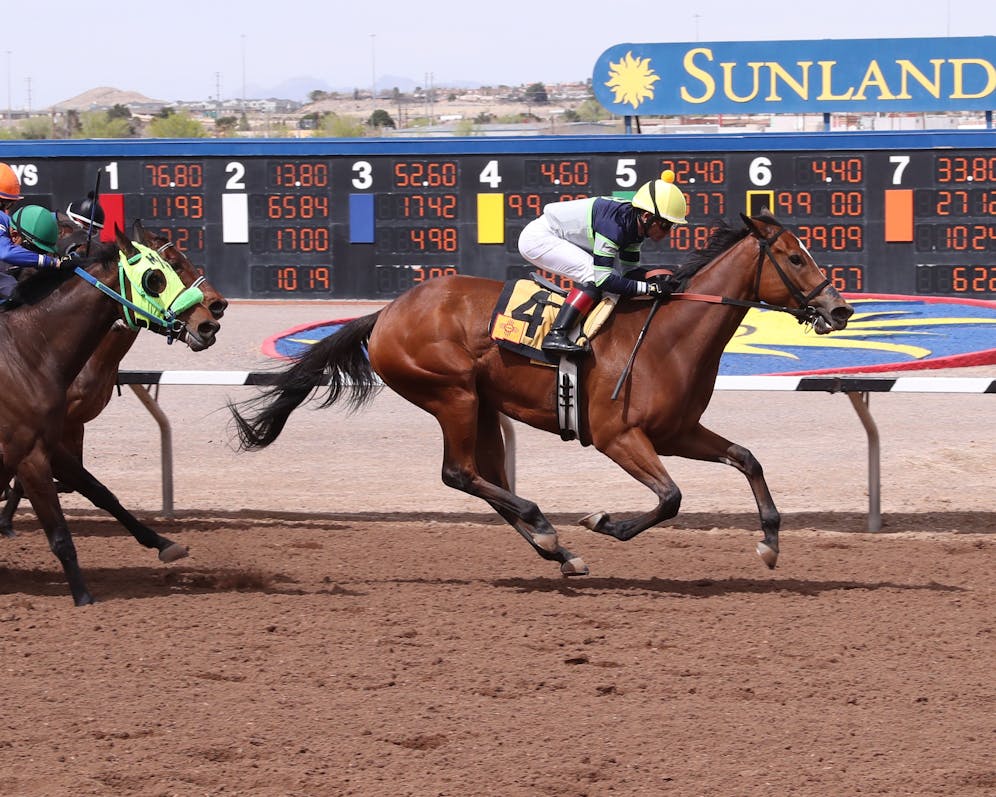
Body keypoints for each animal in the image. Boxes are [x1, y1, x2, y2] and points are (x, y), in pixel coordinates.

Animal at [0, 227, 222, 604]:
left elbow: (99, 490)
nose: (208, 323)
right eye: (157, 276)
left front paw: (164, 543)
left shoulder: (51, 441)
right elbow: (60, 534)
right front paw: (83, 597)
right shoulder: (29, 454)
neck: (27, 351)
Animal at [231, 211, 854, 576]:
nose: (839, 309)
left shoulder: (677, 431)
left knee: (485, 480)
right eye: (795, 257)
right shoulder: (618, 436)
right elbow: (672, 497)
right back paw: (550, 531)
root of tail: (385, 313)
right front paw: (605, 523)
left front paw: (770, 542)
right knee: (459, 474)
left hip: (480, 406)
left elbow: (747, 459)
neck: (668, 336)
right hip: (452, 395)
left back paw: (556, 549)